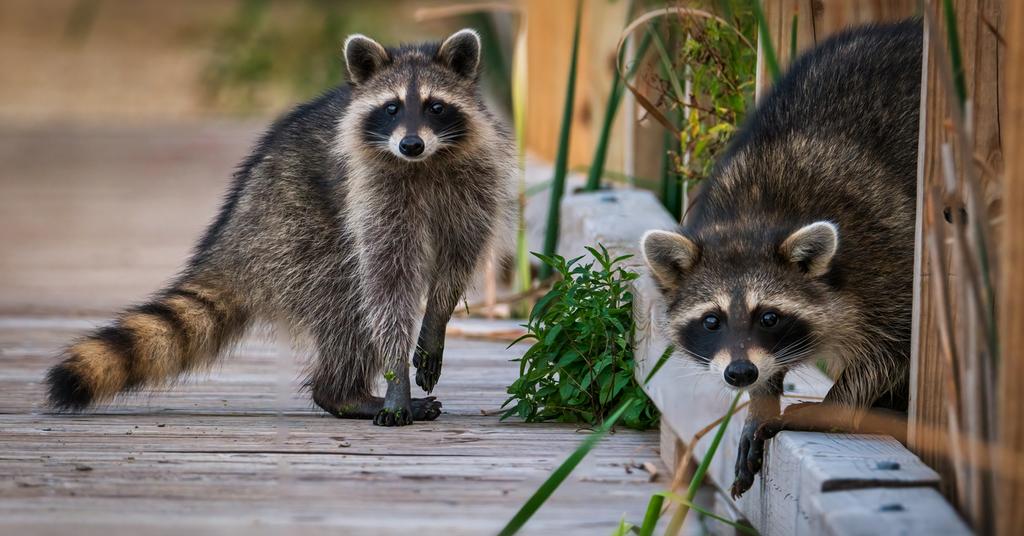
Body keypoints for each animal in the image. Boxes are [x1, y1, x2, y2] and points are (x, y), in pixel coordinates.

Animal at [45, 29, 515, 426]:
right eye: (392, 107)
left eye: (436, 106)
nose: (410, 144)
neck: (424, 163)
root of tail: (233, 235)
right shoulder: (372, 193)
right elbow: (387, 285)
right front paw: (395, 375)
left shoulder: (477, 180)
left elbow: (457, 260)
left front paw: (434, 322)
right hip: (295, 233)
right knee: (346, 303)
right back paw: (343, 393)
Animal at [641, 21, 922, 496]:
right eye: (712, 321)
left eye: (769, 317)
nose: (740, 374)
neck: (754, 215)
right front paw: (762, 398)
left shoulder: (885, 257)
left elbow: (890, 350)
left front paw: (835, 405)